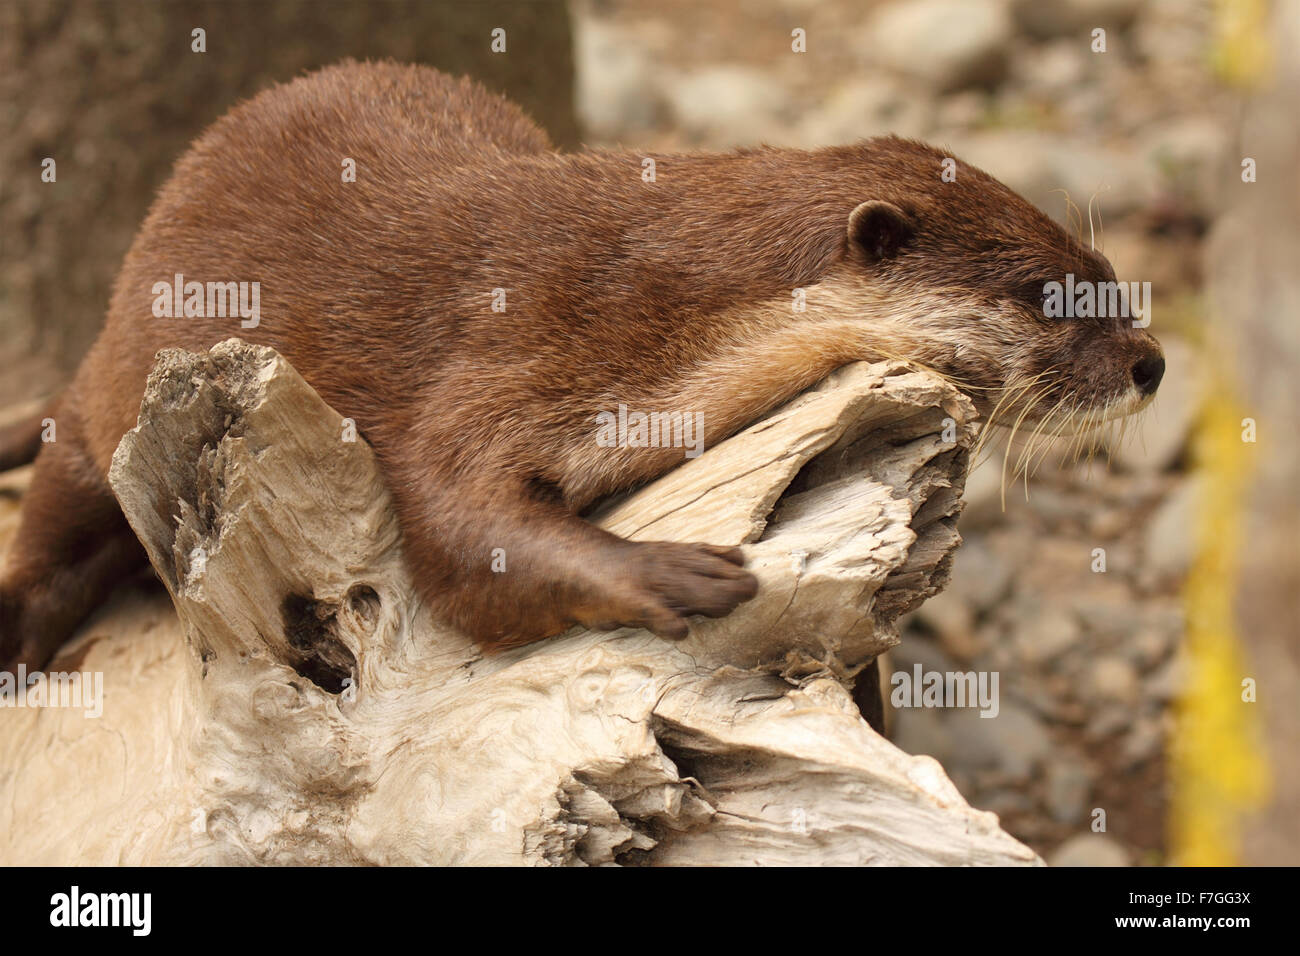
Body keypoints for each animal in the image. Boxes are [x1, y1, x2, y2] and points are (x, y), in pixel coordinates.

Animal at [0, 60, 1164, 671]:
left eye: (1104, 271)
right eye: (1046, 292)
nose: (1151, 362)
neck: (658, 299)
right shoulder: (513, 345)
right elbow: (458, 528)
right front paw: (671, 571)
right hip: (111, 391)